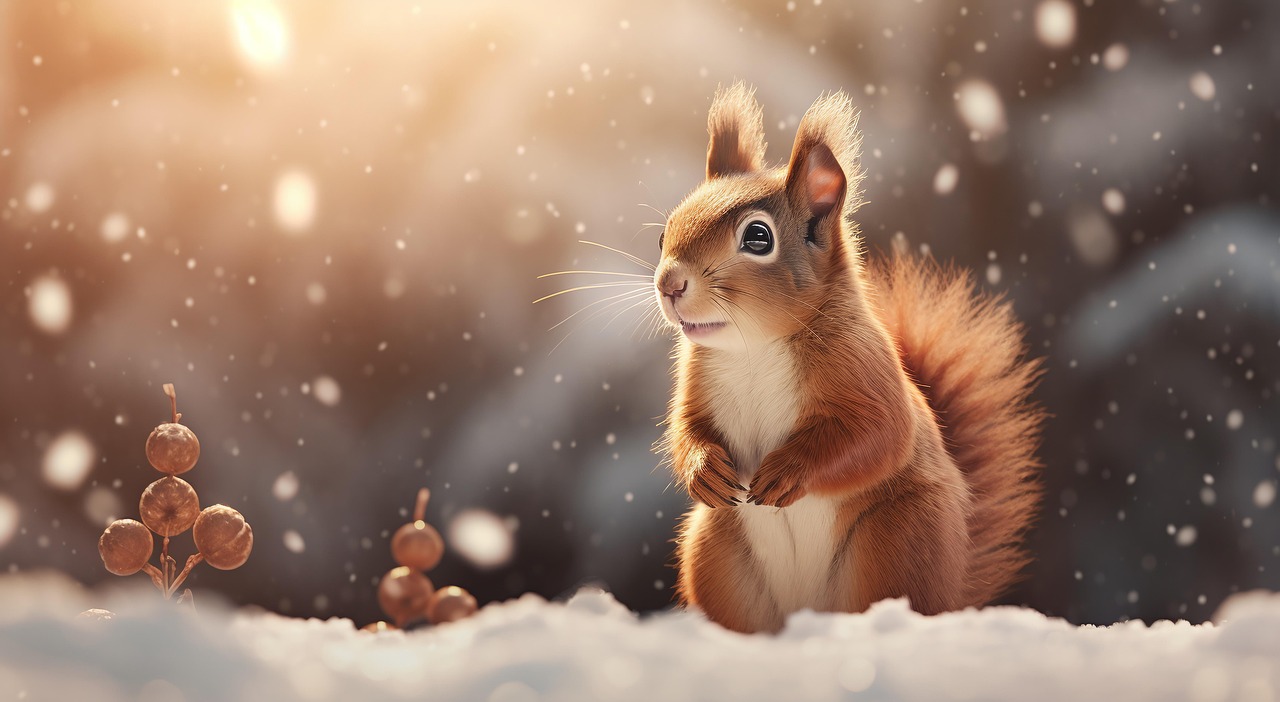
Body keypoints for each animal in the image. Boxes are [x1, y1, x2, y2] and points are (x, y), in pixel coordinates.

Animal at [655, 83, 1044, 634]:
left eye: (758, 237)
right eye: (663, 233)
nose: (669, 284)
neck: (752, 348)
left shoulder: (864, 368)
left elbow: (877, 434)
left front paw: (786, 470)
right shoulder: (696, 379)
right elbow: (687, 429)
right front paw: (703, 470)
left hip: (897, 541)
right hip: (714, 549)